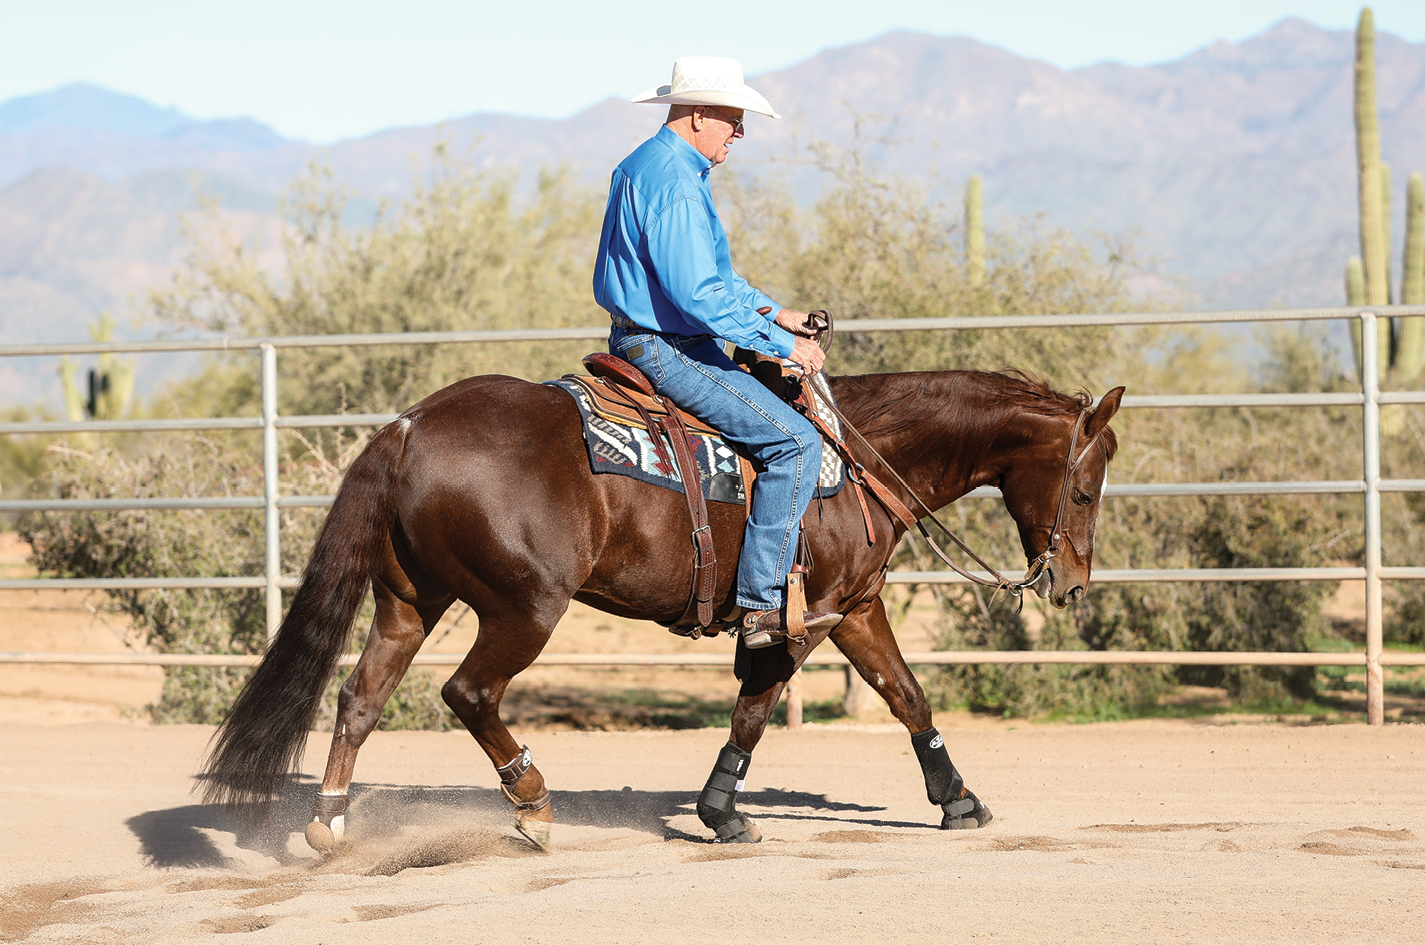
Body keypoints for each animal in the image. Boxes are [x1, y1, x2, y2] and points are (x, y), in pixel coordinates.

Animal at [199, 366, 1124, 849]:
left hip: (408, 601)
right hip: (524, 608)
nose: (1071, 582)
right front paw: (721, 813)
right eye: (1084, 487)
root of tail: (409, 425)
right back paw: (533, 803)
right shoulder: (800, 617)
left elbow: (907, 697)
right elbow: (755, 709)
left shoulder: (855, 606)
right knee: (469, 693)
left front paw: (957, 798)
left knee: (360, 697)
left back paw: (328, 823)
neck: (854, 460)